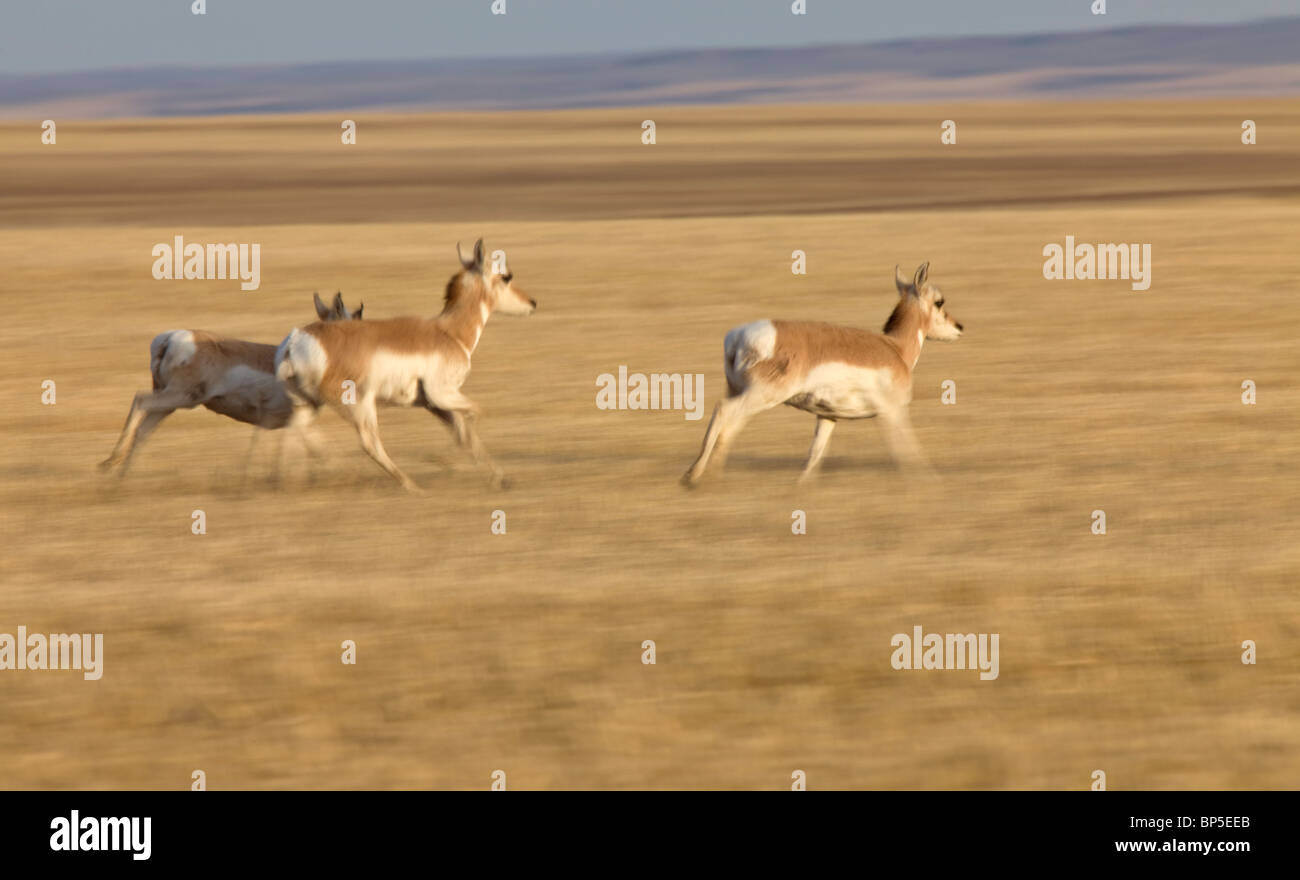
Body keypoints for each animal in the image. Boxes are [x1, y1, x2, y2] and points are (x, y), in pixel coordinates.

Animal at [99, 292, 363, 477]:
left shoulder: (273, 423)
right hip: (181, 397)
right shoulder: (299, 418)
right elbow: (321, 449)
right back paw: (110, 462)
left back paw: (122, 475)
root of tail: (169, 338)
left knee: (144, 429)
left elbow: (268, 449)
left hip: (170, 403)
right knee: (140, 400)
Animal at [275, 239, 536, 492]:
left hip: (307, 404)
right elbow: (476, 413)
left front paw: (501, 479)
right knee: (369, 443)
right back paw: (410, 485)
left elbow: (462, 431)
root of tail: (296, 339)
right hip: (361, 404)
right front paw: (442, 461)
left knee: (295, 431)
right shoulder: (443, 394)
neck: (449, 333)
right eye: (506, 276)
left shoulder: (434, 405)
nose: (532, 303)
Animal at [682, 262, 962, 486]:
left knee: (731, 425)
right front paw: (932, 481)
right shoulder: (892, 413)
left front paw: (800, 487)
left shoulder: (827, 417)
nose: (959, 326)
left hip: (745, 394)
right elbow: (908, 449)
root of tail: (738, 336)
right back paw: (693, 476)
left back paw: (711, 475)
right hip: (762, 395)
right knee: (722, 410)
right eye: (939, 302)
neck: (894, 348)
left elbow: (815, 454)